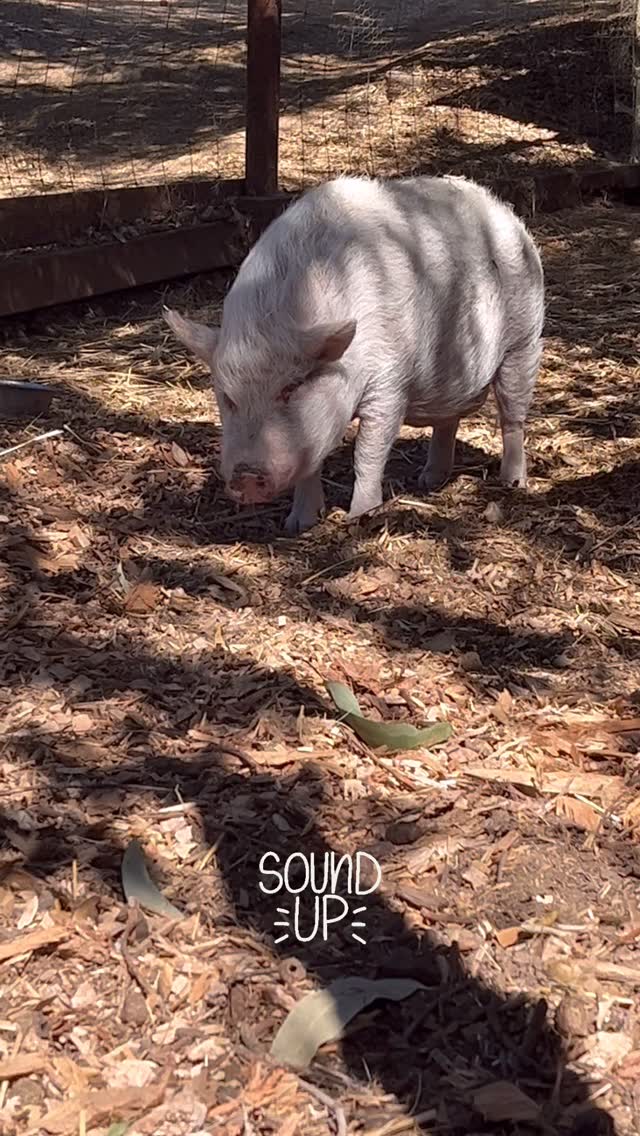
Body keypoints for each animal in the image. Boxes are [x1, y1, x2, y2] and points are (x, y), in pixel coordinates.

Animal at [163, 174, 544, 536]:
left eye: (291, 388)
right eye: (229, 399)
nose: (244, 475)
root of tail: (503, 210)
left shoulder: (390, 383)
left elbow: (367, 453)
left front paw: (359, 516)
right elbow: (311, 462)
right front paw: (298, 525)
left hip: (524, 341)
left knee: (513, 417)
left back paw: (513, 483)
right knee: (448, 421)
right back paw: (428, 480)